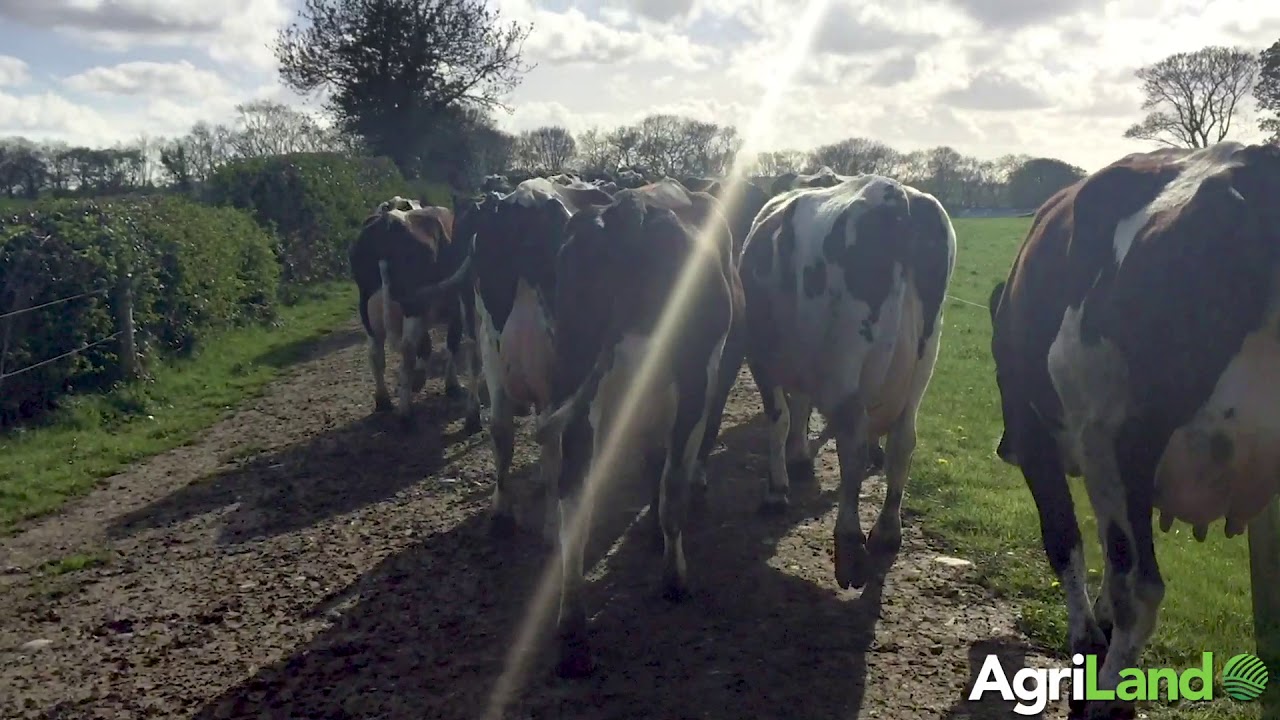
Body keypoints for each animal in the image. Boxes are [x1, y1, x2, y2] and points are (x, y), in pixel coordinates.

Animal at [349, 196, 479, 427]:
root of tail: (388, 221)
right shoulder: (454, 308)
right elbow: (450, 344)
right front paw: (451, 385)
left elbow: (426, 345)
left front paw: (420, 379)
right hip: (412, 306)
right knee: (407, 349)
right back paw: (405, 413)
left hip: (367, 305)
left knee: (375, 352)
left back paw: (383, 400)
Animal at [459, 177, 616, 540]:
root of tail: (526, 198)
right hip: (555, 364)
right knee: (553, 438)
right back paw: (552, 522)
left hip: (493, 352)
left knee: (501, 428)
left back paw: (502, 511)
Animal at [534, 179, 744, 678]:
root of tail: (631, 211)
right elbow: (670, 471)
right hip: (690, 376)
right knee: (673, 485)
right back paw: (675, 577)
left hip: (575, 372)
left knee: (574, 494)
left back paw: (572, 624)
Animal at [739, 174, 956, 592]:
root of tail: (898, 198)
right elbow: (799, 408)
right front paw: (799, 458)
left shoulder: (761, 354)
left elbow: (780, 418)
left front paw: (777, 489)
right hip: (924, 362)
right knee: (904, 441)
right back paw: (886, 532)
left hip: (846, 366)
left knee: (851, 445)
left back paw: (850, 543)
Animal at [987, 141, 1280, 719]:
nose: (1003, 448)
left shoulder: (1041, 443)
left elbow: (1065, 540)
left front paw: (1085, 638)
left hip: (1118, 439)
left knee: (1139, 588)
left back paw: (1107, 697)